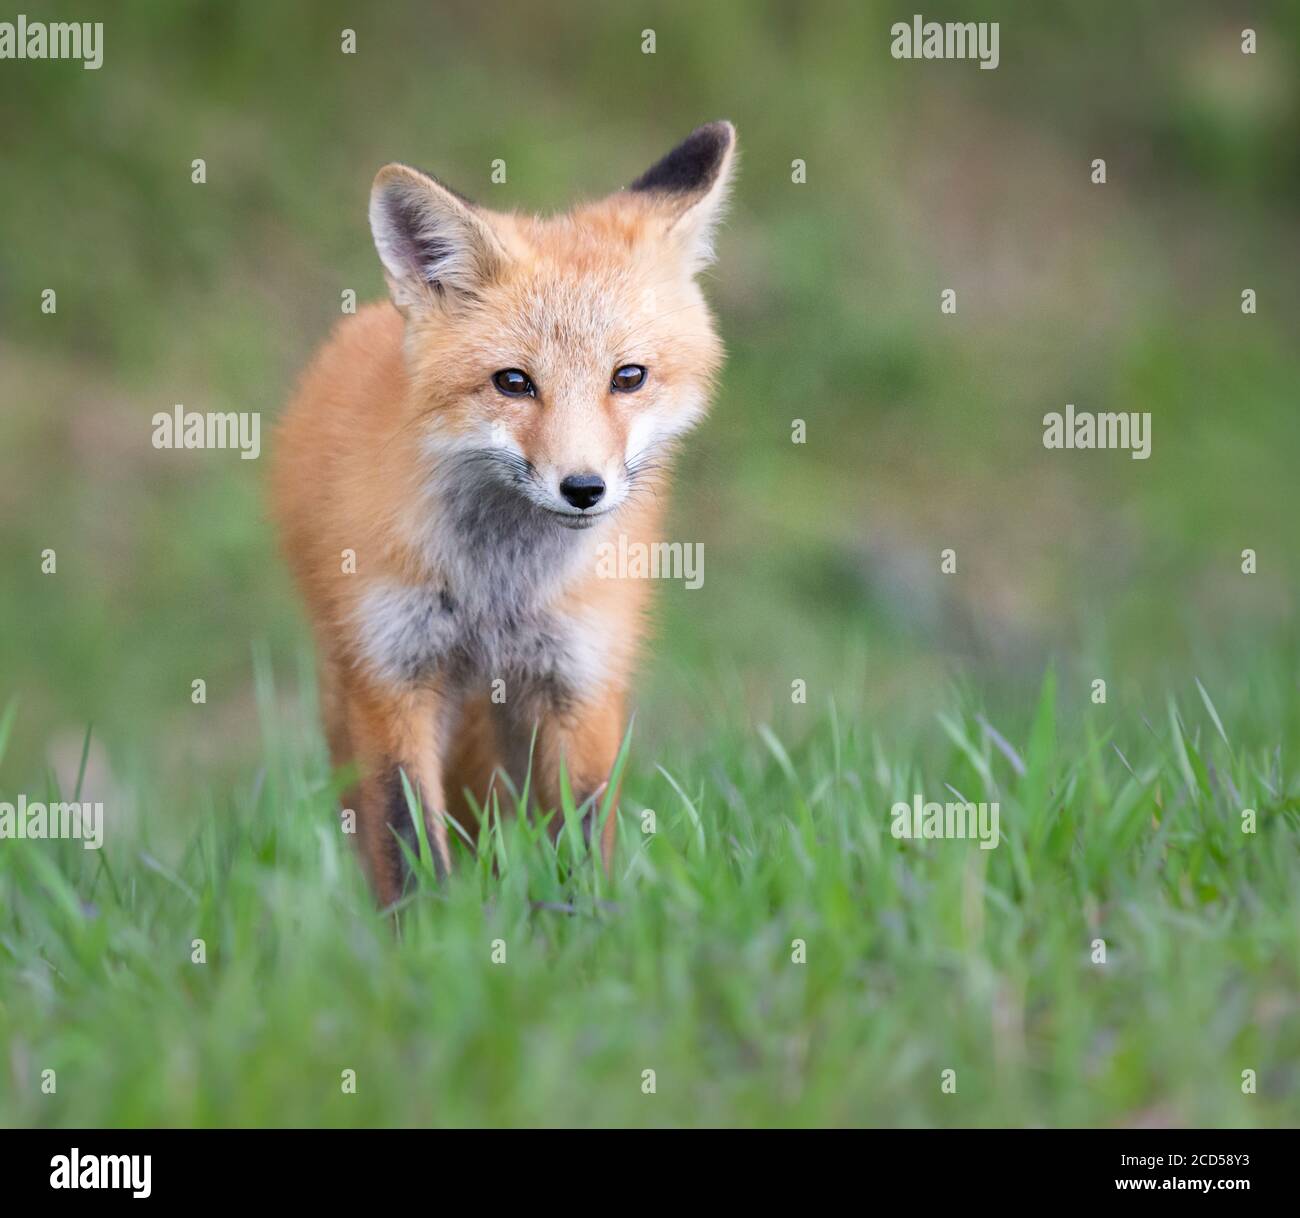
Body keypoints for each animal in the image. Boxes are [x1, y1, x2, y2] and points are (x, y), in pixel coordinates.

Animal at [271, 122, 737, 906]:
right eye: (514, 383)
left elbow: (582, 837)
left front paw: (588, 928)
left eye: (629, 377)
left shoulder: (579, 682)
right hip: (350, 686)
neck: (499, 590)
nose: (583, 488)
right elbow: (406, 841)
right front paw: (426, 932)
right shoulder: (393, 677)